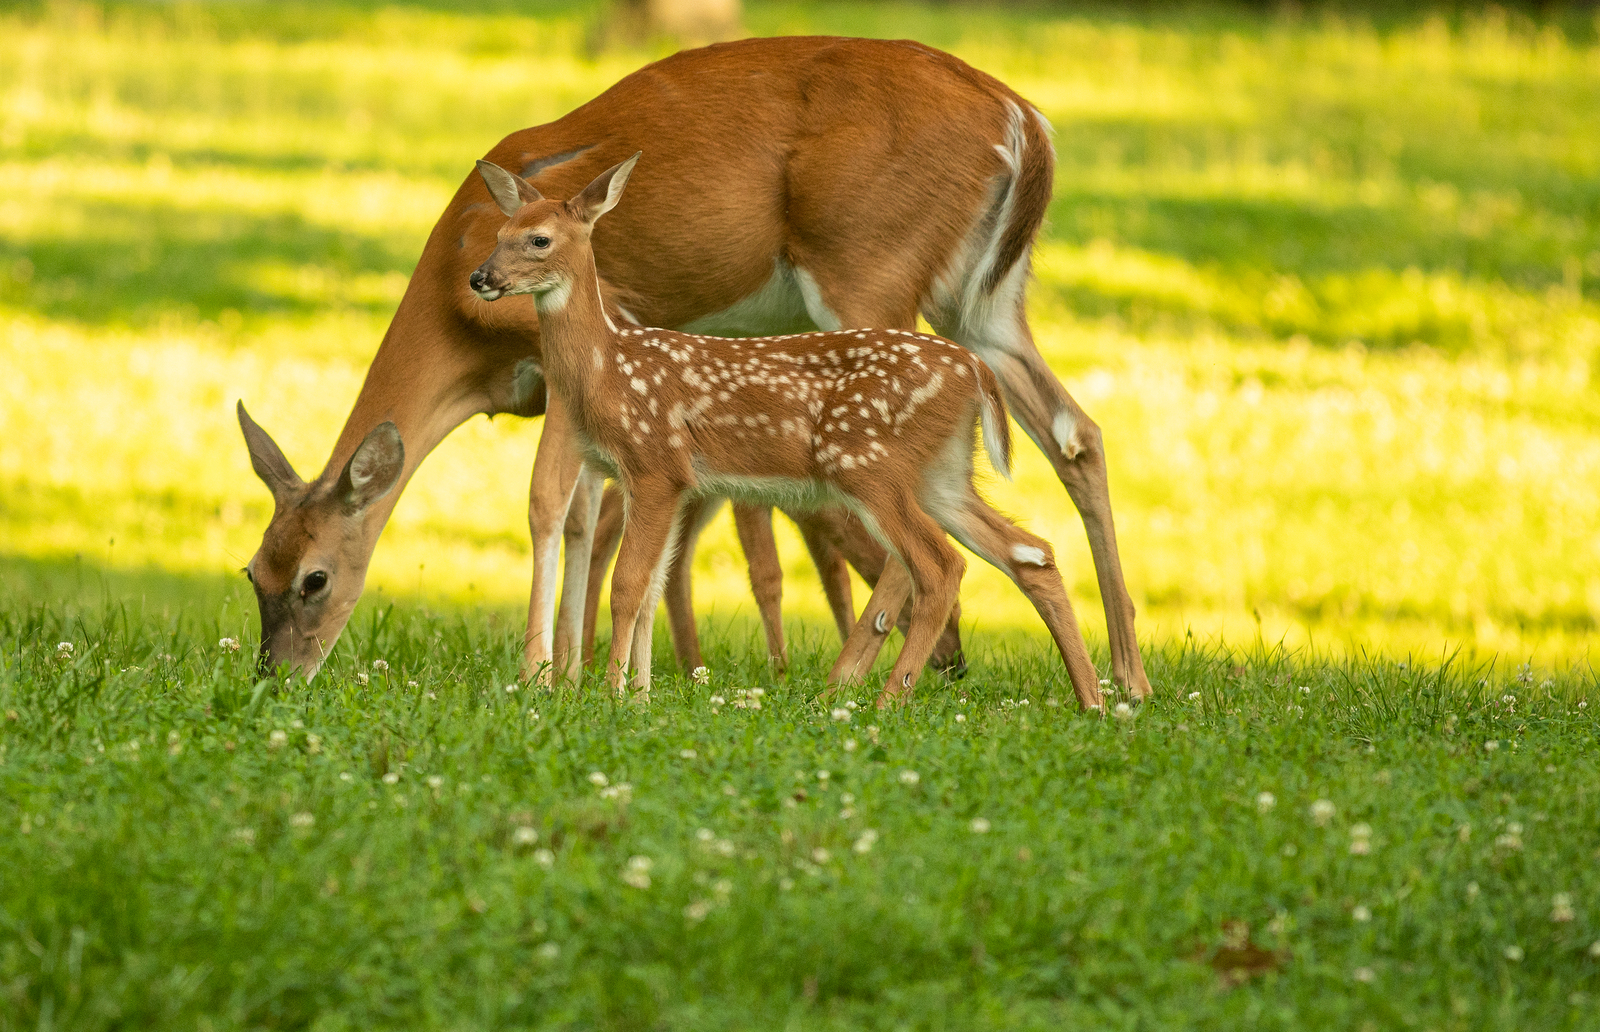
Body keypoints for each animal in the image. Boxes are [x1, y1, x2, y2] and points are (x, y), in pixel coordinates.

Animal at [468, 153, 1105, 708]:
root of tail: (975, 369)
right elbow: (651, 589)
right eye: (499, 231)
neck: (608, 372)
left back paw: (886, 702)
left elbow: (628, 585)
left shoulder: (653, 463)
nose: (480, 277)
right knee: (1030, 551)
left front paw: (613, 696)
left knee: (940, 565)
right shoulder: (676, 482)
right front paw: (641, 696)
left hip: (868, 462)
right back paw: (1094, 702)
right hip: (943, 473)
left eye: (538, 239)